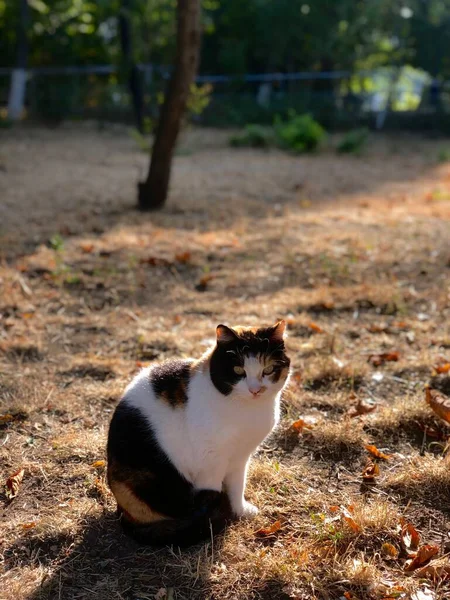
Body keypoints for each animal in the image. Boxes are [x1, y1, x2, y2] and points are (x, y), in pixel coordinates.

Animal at [108, 322, 292, 548]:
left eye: (268, 369)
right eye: (238, 370)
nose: (255, 390)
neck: (248, 411)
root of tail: (121, 513)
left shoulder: (240, 458)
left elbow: (237, 486)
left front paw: (240, 511)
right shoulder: (210, 462)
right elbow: (211, 493)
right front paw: (214, 521)